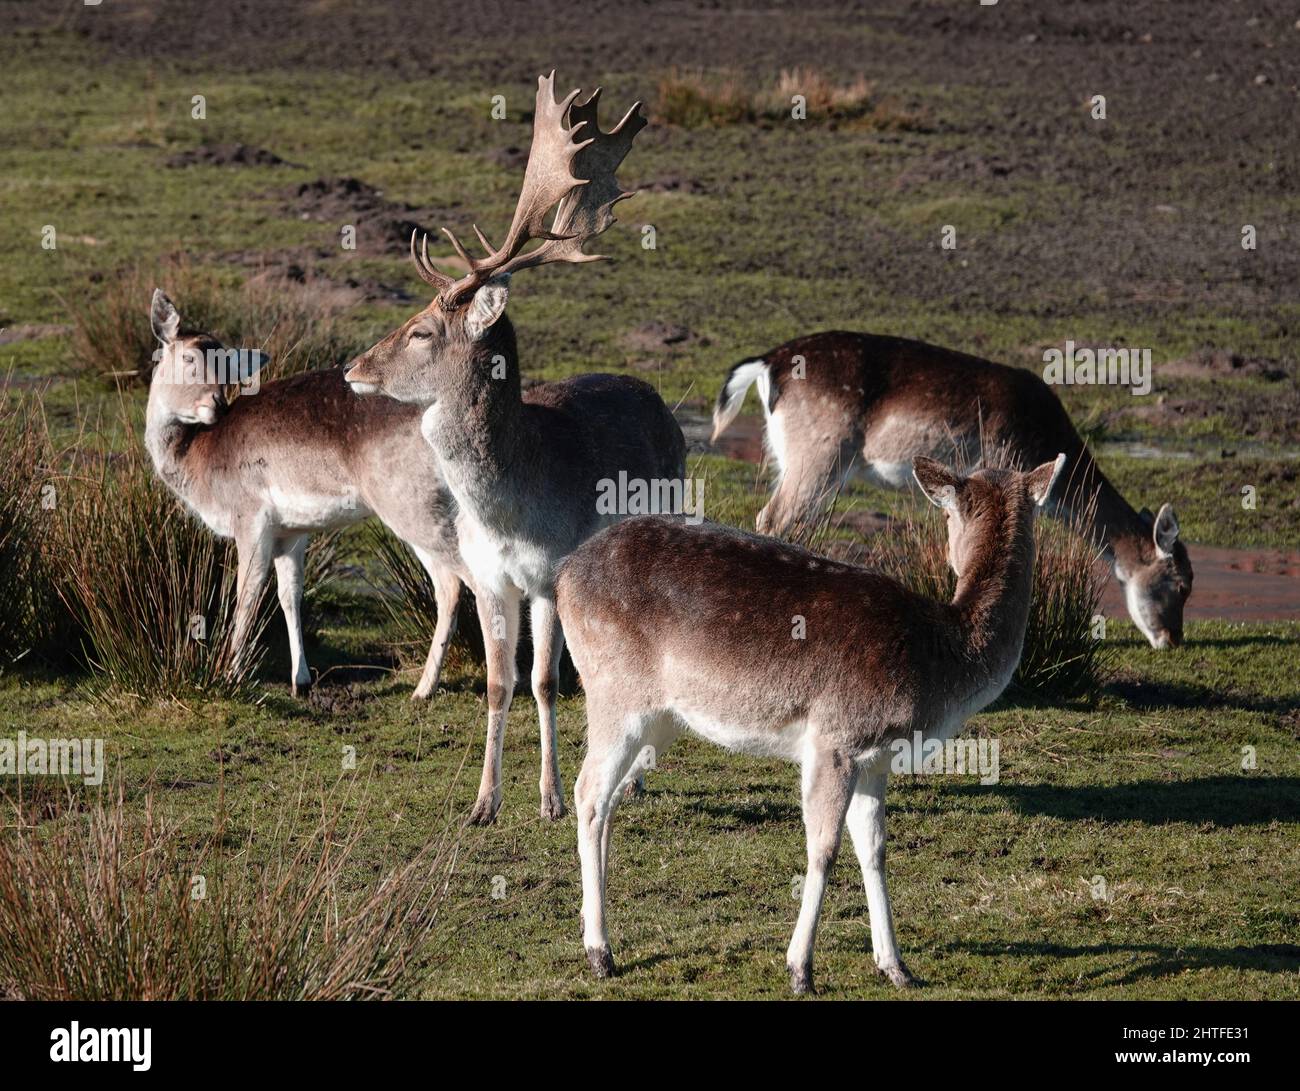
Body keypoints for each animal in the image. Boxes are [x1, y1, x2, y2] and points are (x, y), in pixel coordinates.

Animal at [144, 289, 471, 698]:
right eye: (189, 357)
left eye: (227, 367)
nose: (216, 403)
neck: (198, 458)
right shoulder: (291, 532)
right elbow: (290, 596)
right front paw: (300, 678)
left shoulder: (250, 518)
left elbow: (247, 595)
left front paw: (231, 675)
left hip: (411, 505)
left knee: (458, 582)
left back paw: (428, 688)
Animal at [343, 73, 686, 825]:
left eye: (422, 331)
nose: (353, 365)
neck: (507, 509)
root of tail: (657, 400)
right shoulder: (488, 577)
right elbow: (501, 685)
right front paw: (484, 802)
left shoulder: (550, 575)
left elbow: (545, 683)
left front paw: (553, 799)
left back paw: (637, 778)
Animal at [558, 453, 1065, 994]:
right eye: (948, 516)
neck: (939, 659)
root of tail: (562, 574)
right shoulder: (835, 738)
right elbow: (823, 848)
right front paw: (800, 970)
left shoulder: (876, 758)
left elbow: (874, 849)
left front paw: (897, 967)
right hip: (615, 692)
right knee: (589, 793)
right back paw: (600, 953)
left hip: (659, 716)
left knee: (610, 798)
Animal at [712, 331, 1193, 648]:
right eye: (1181, 583)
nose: (1173, 638)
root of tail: (769, 362)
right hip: (820, 452)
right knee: (774, 518)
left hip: (787, 454)